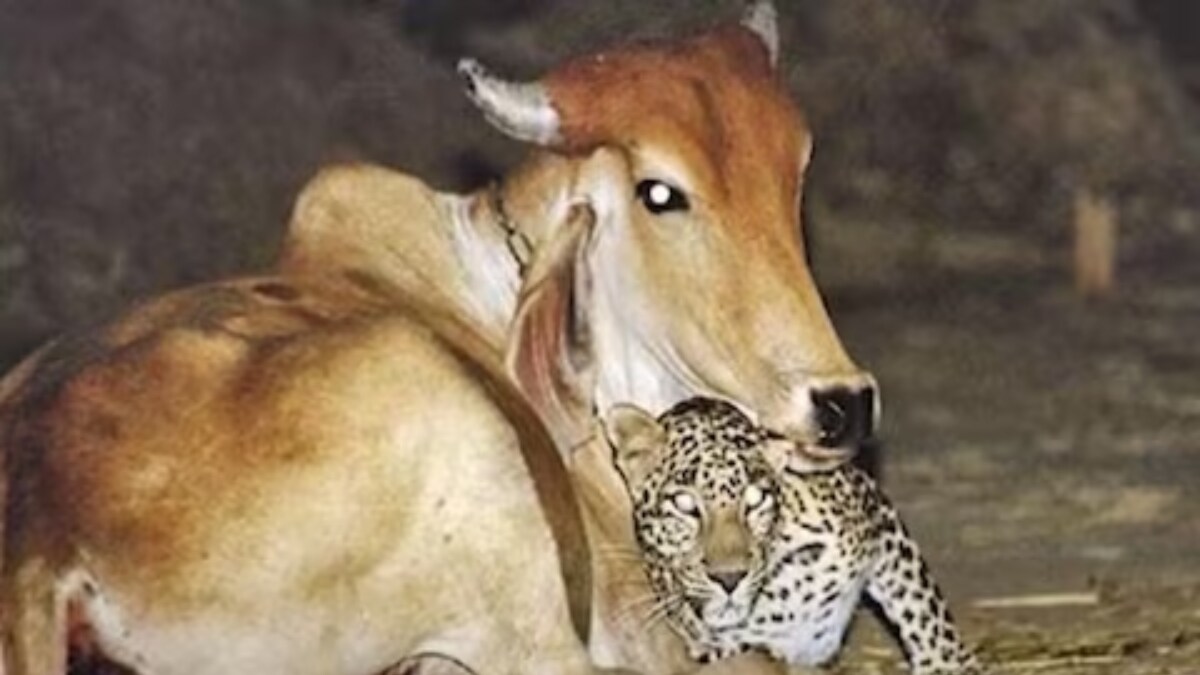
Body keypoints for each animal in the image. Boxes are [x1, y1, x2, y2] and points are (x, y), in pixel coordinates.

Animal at [603, 396, 981, 674]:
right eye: (684, 504)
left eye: (756, 499)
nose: (730, 579)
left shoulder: (878, 515)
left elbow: (924, 612)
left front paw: (947, 665)